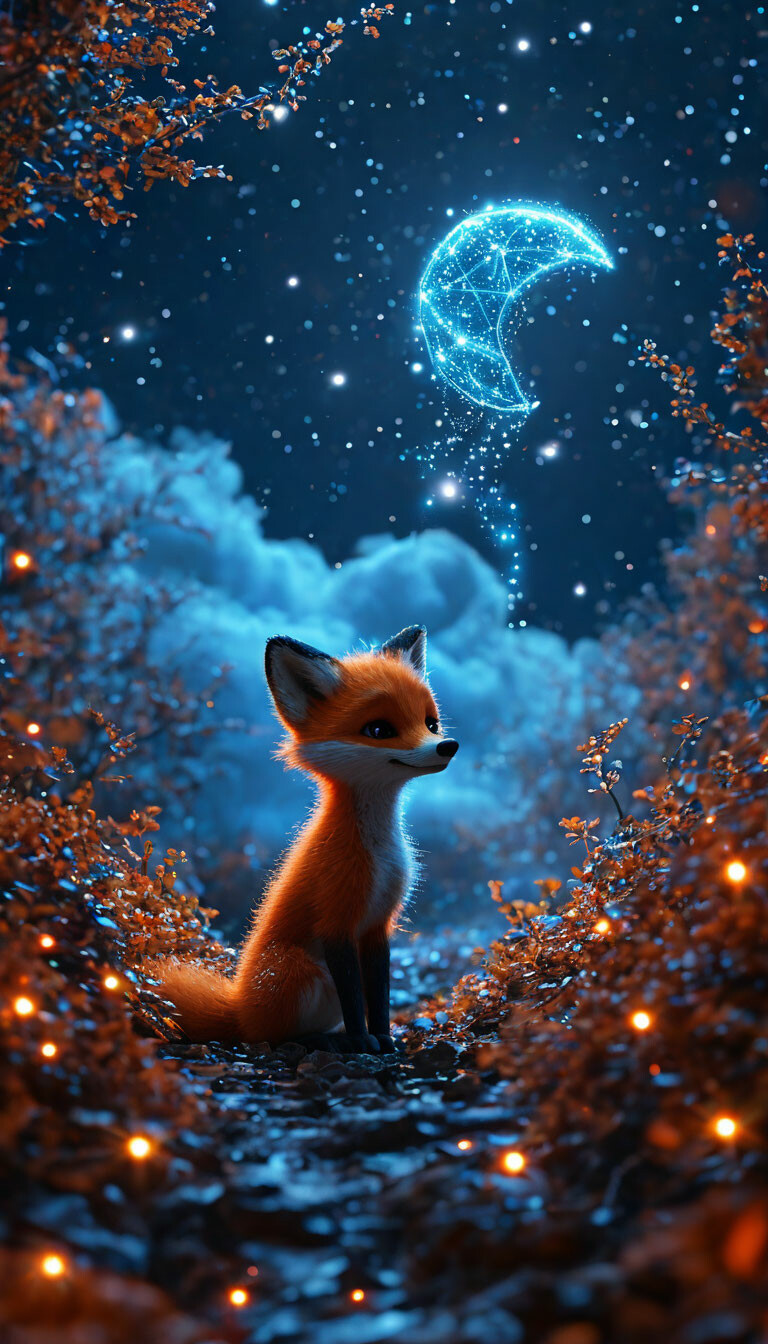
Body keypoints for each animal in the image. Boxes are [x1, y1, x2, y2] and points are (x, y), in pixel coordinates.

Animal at [153, 624, 459, 1053]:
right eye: (379, 730)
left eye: (431, 723)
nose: (447, 745)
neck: (378, 857)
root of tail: (239, 1009)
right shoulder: (335, 921)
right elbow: (355, 997)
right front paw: (363, 1042)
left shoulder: (377, 925)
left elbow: (379, 993)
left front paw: (384, 1037)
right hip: (298, 969)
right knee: (275, 1036)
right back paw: (325, 1042)